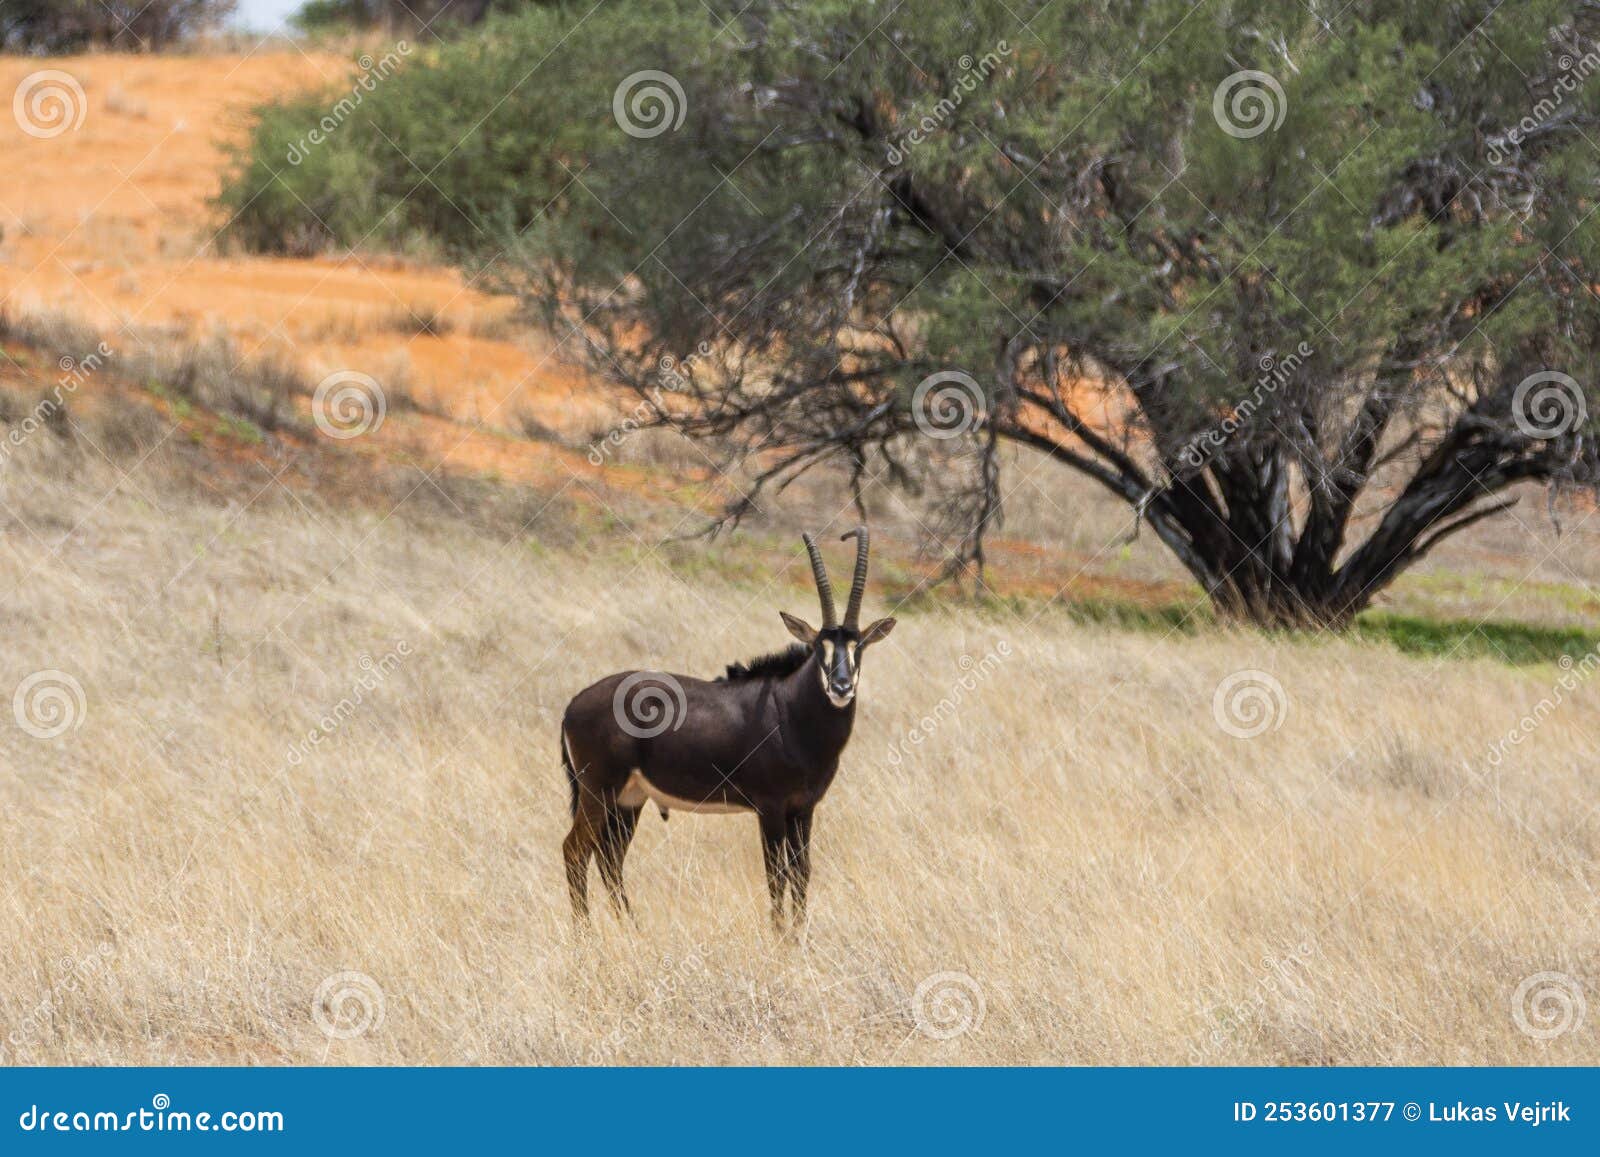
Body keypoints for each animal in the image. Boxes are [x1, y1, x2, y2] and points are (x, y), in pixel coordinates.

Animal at [558, 527, 894, 933]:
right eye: (819, 646)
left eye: (859, 646)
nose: (842, 687)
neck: (792, 713)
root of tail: (572, 705)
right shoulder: (770, 808)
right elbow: (776, 875)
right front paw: (781, 937)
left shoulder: (803, 809)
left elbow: (802, 873)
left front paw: (800, 936)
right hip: (599, 791)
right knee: (576, 850)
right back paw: (585, 933)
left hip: (629, 799)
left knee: (610, 858)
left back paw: (631, 930)